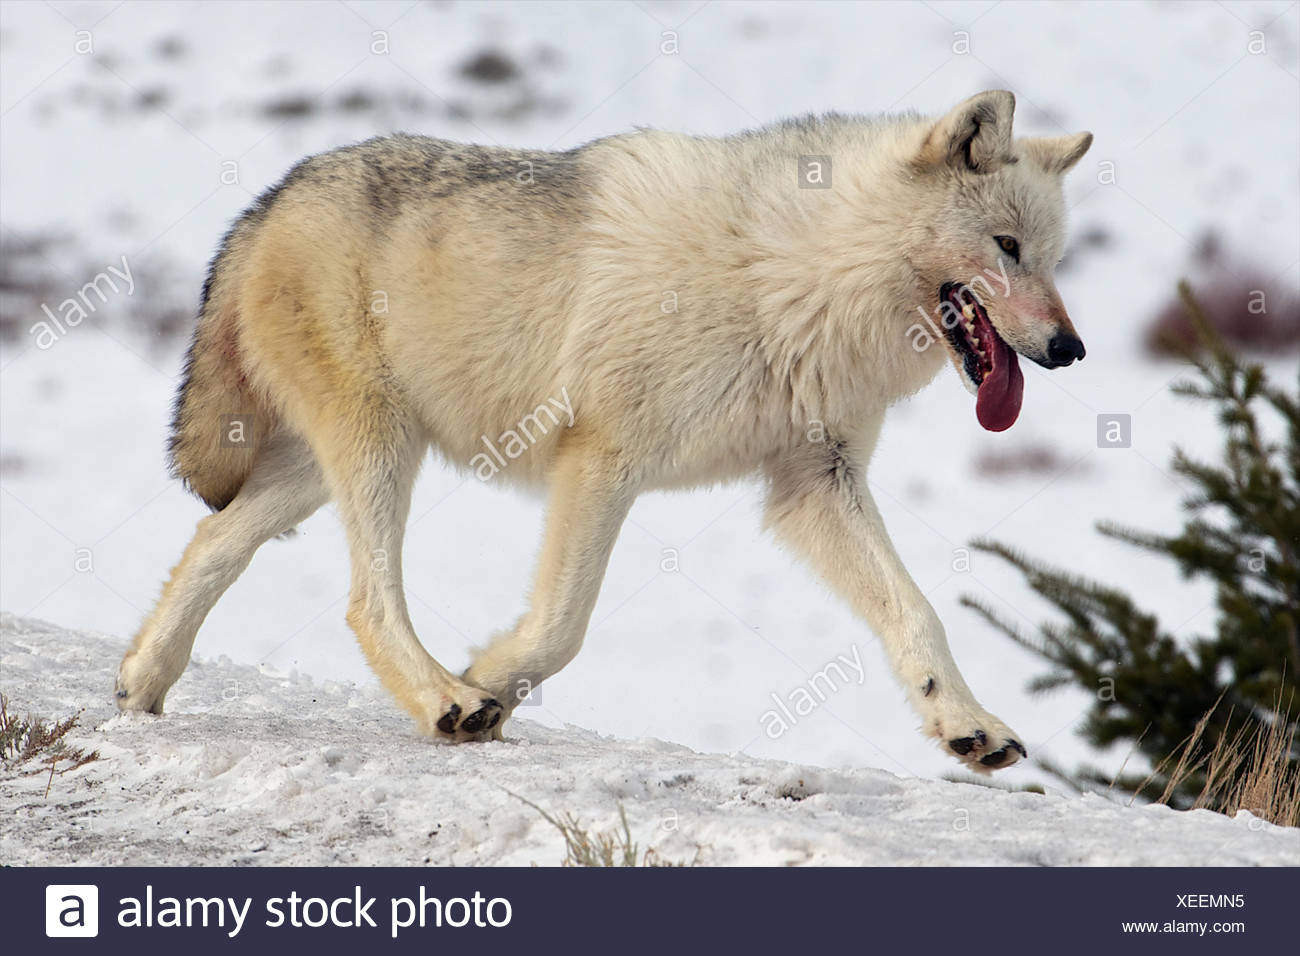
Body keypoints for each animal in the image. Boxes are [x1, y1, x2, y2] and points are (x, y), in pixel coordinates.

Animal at [116, 90, 1091, 772]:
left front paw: (967, 727)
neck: (792, 274)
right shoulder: (601, 462)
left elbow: (915, 612)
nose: (1070, 349)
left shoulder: (815, 481)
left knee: (213, 541)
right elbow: (562, 625)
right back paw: (440, 701)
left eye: (1049, 259)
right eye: (1005, 247)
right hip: (377, 451)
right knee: (364, 599)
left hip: (320, 472)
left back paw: (140, 684)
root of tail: (270, 198)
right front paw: (486, 683)